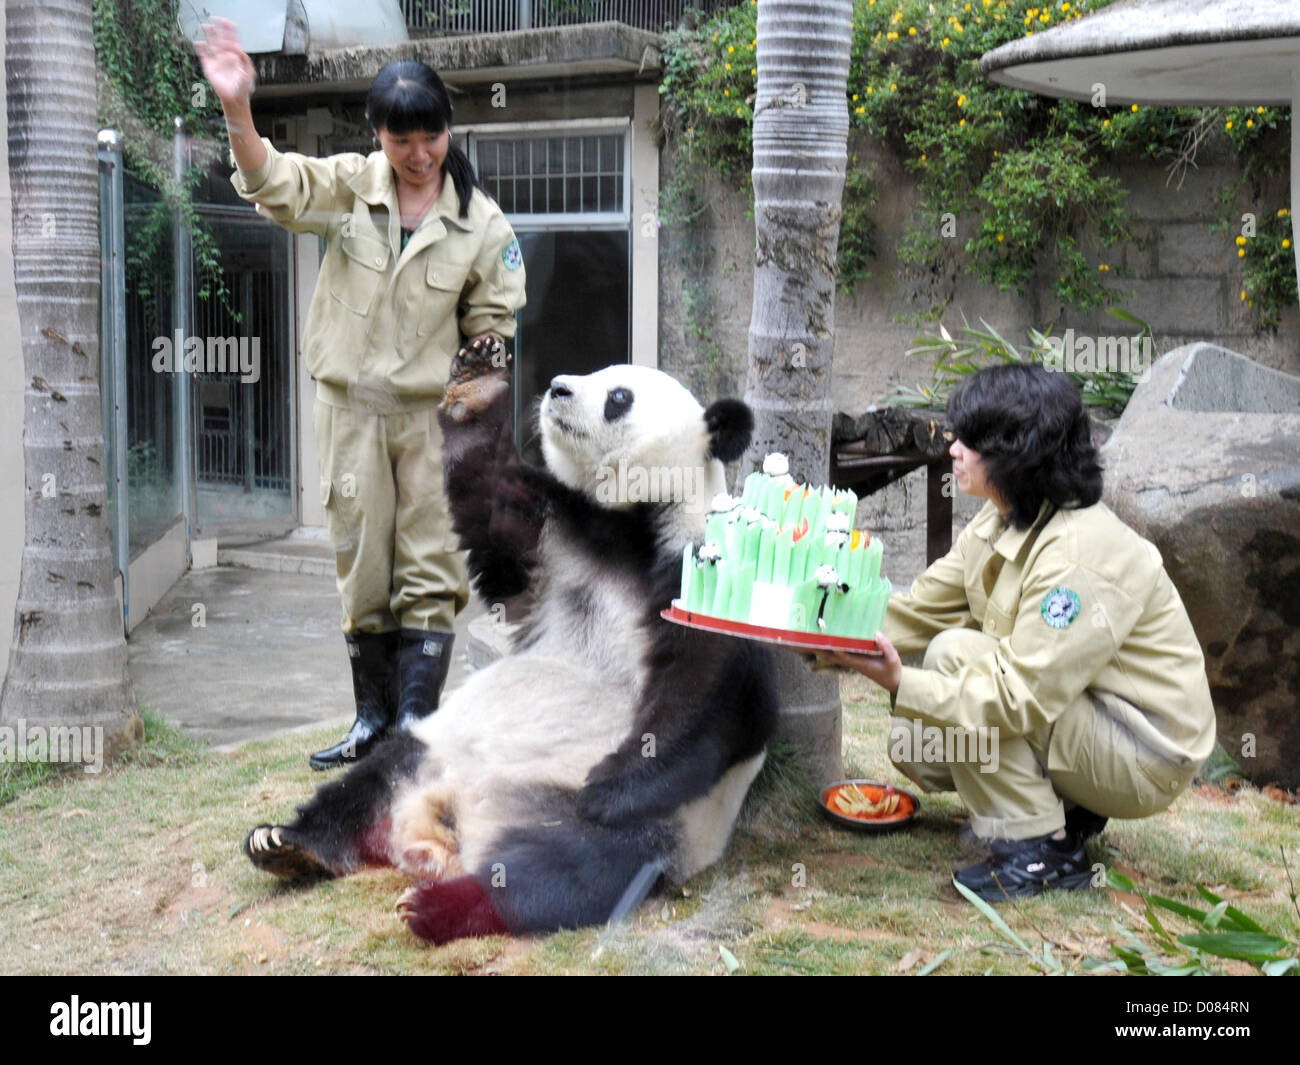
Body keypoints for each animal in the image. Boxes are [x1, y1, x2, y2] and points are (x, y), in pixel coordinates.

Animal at [244, 339, 778, 945]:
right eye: (596, 370)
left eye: (619, 396)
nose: (559, 388)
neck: (630, 525)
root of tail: (451, 830)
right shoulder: (554, 532)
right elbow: (491, 505)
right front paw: (477, 382)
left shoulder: (704, 571)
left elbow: (710, 694)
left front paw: (611, 788)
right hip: (435, 748)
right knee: (370, 780)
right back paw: (289, 845)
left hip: (640, 825)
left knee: (564, 867)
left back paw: (439, 906)